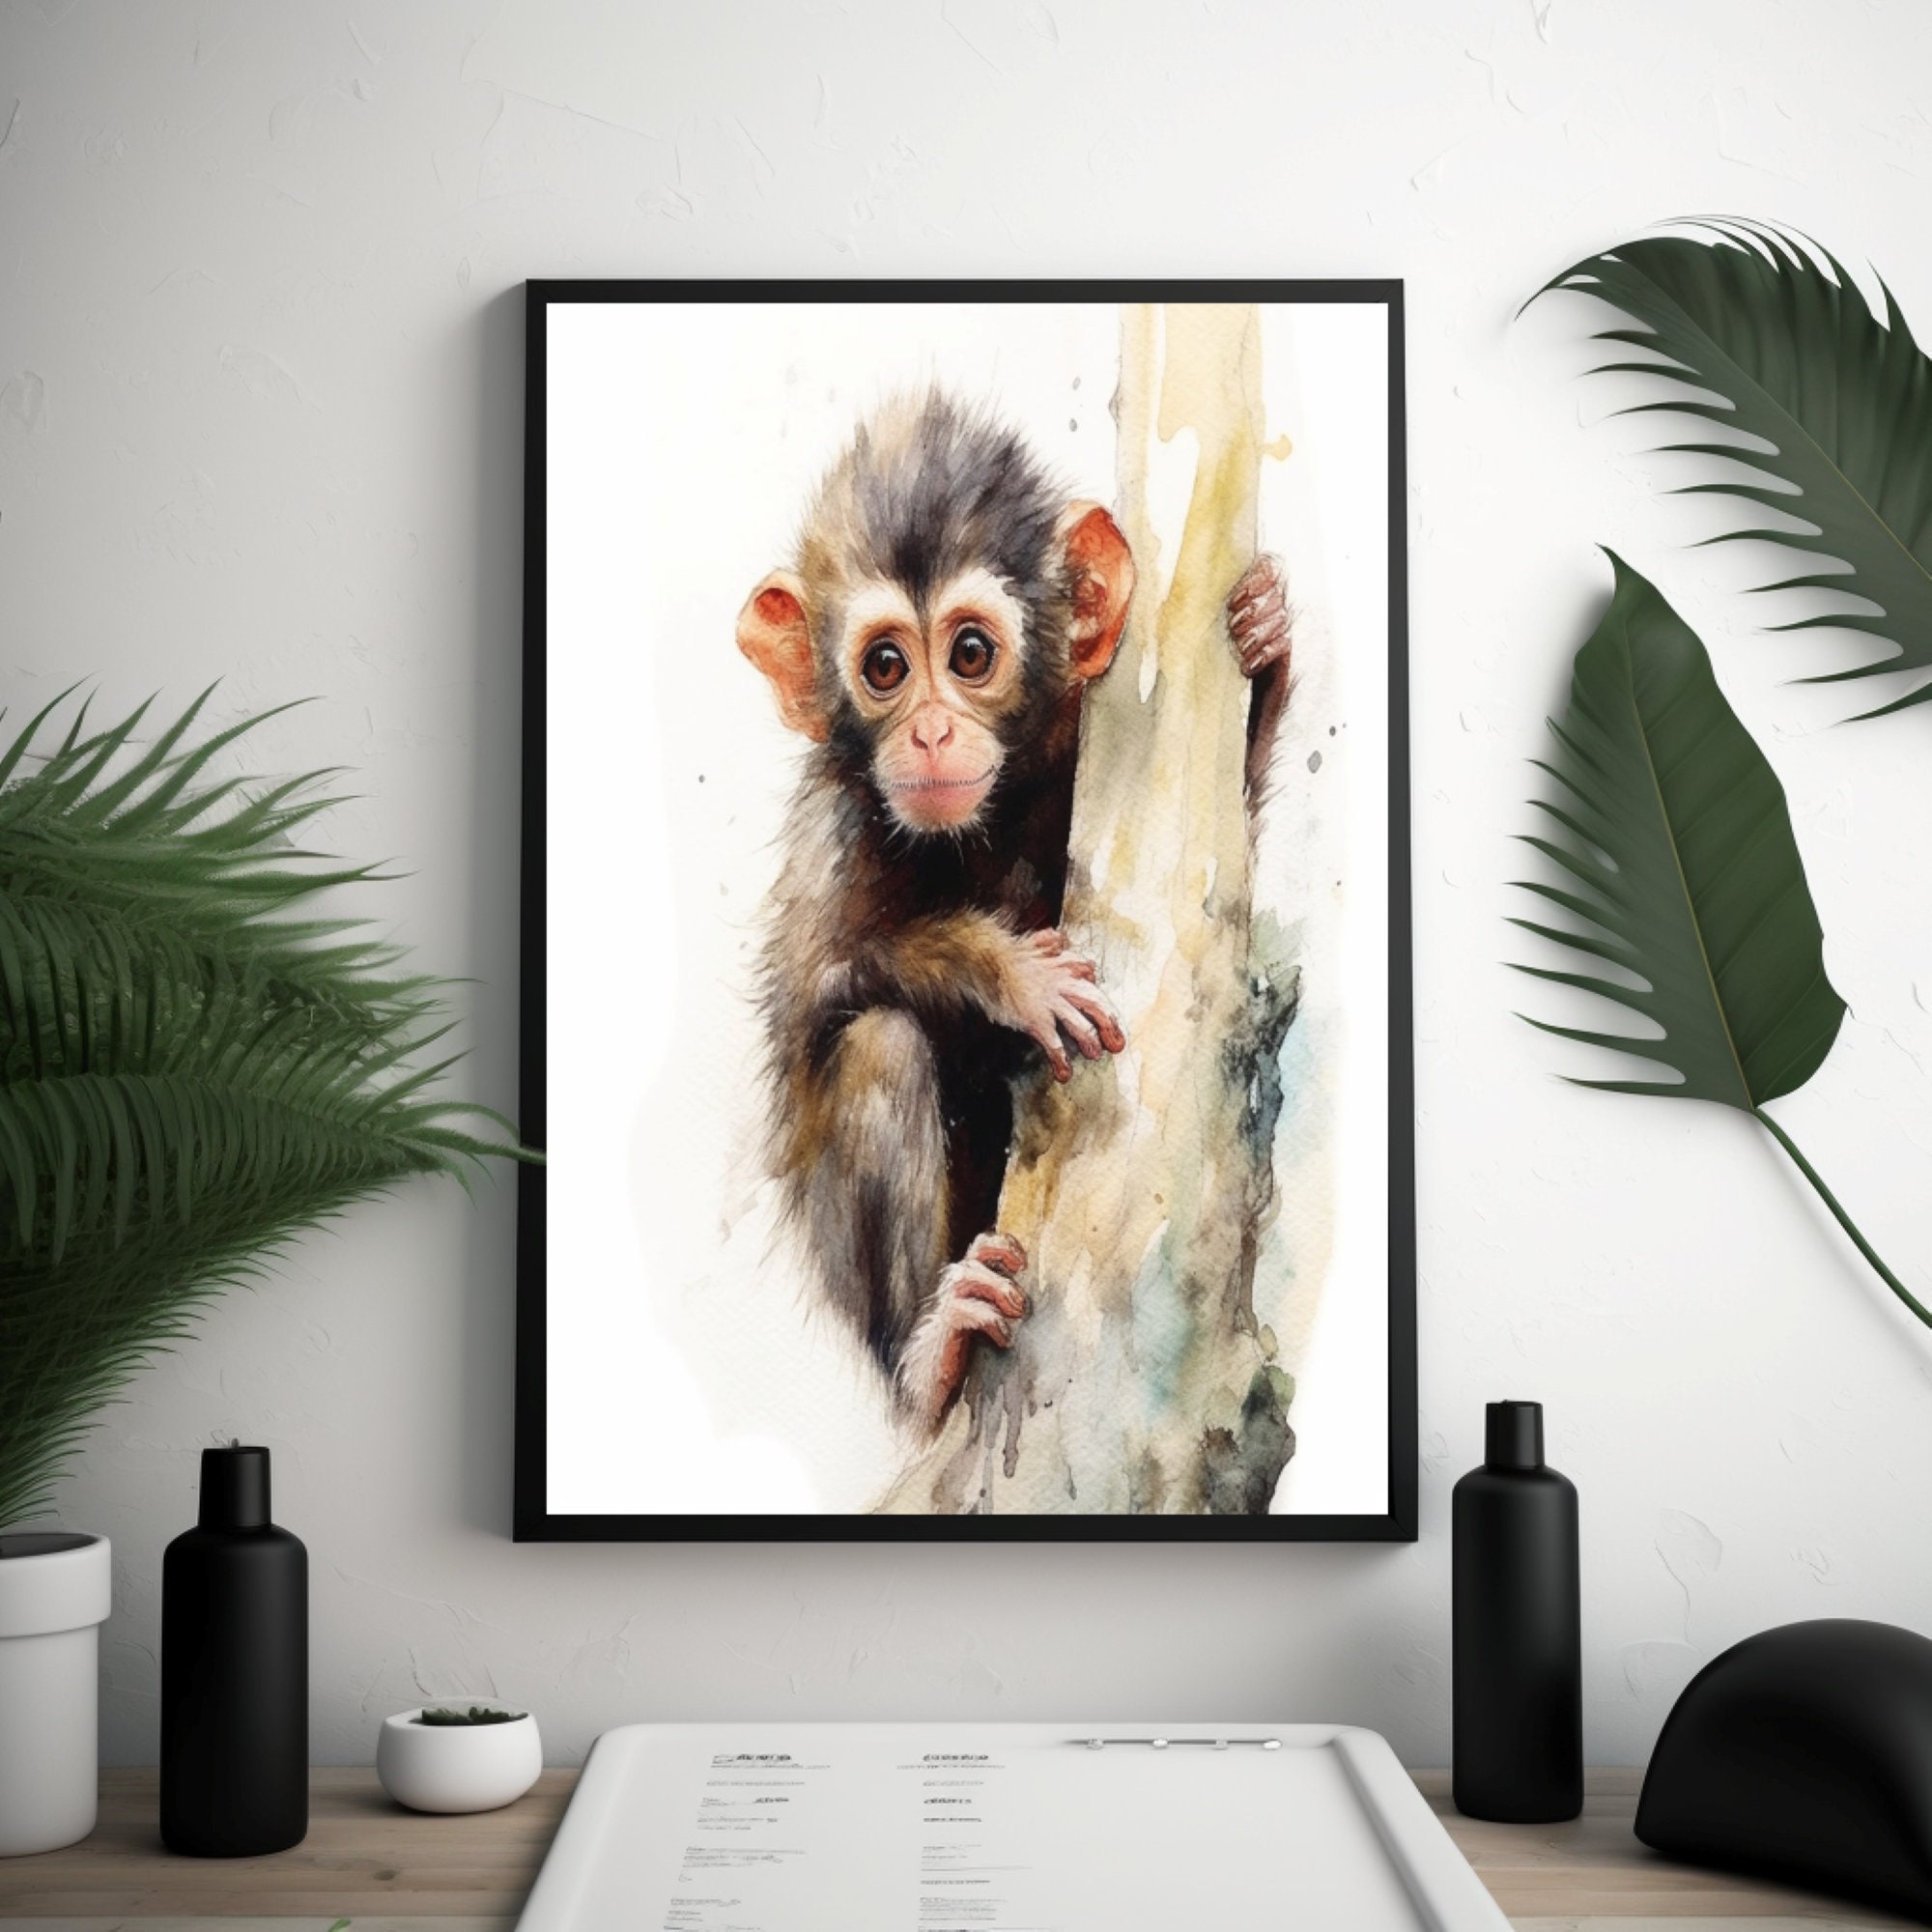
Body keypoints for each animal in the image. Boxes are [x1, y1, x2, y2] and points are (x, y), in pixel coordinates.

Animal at [737, 391, 1292, 1432]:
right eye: (884, 666)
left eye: (968, 653)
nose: (928, 730)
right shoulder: (835, 825)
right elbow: (817, 985)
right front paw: (1015, 974)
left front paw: (1267, 651)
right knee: (878, 1049)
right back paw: (932, 1358)